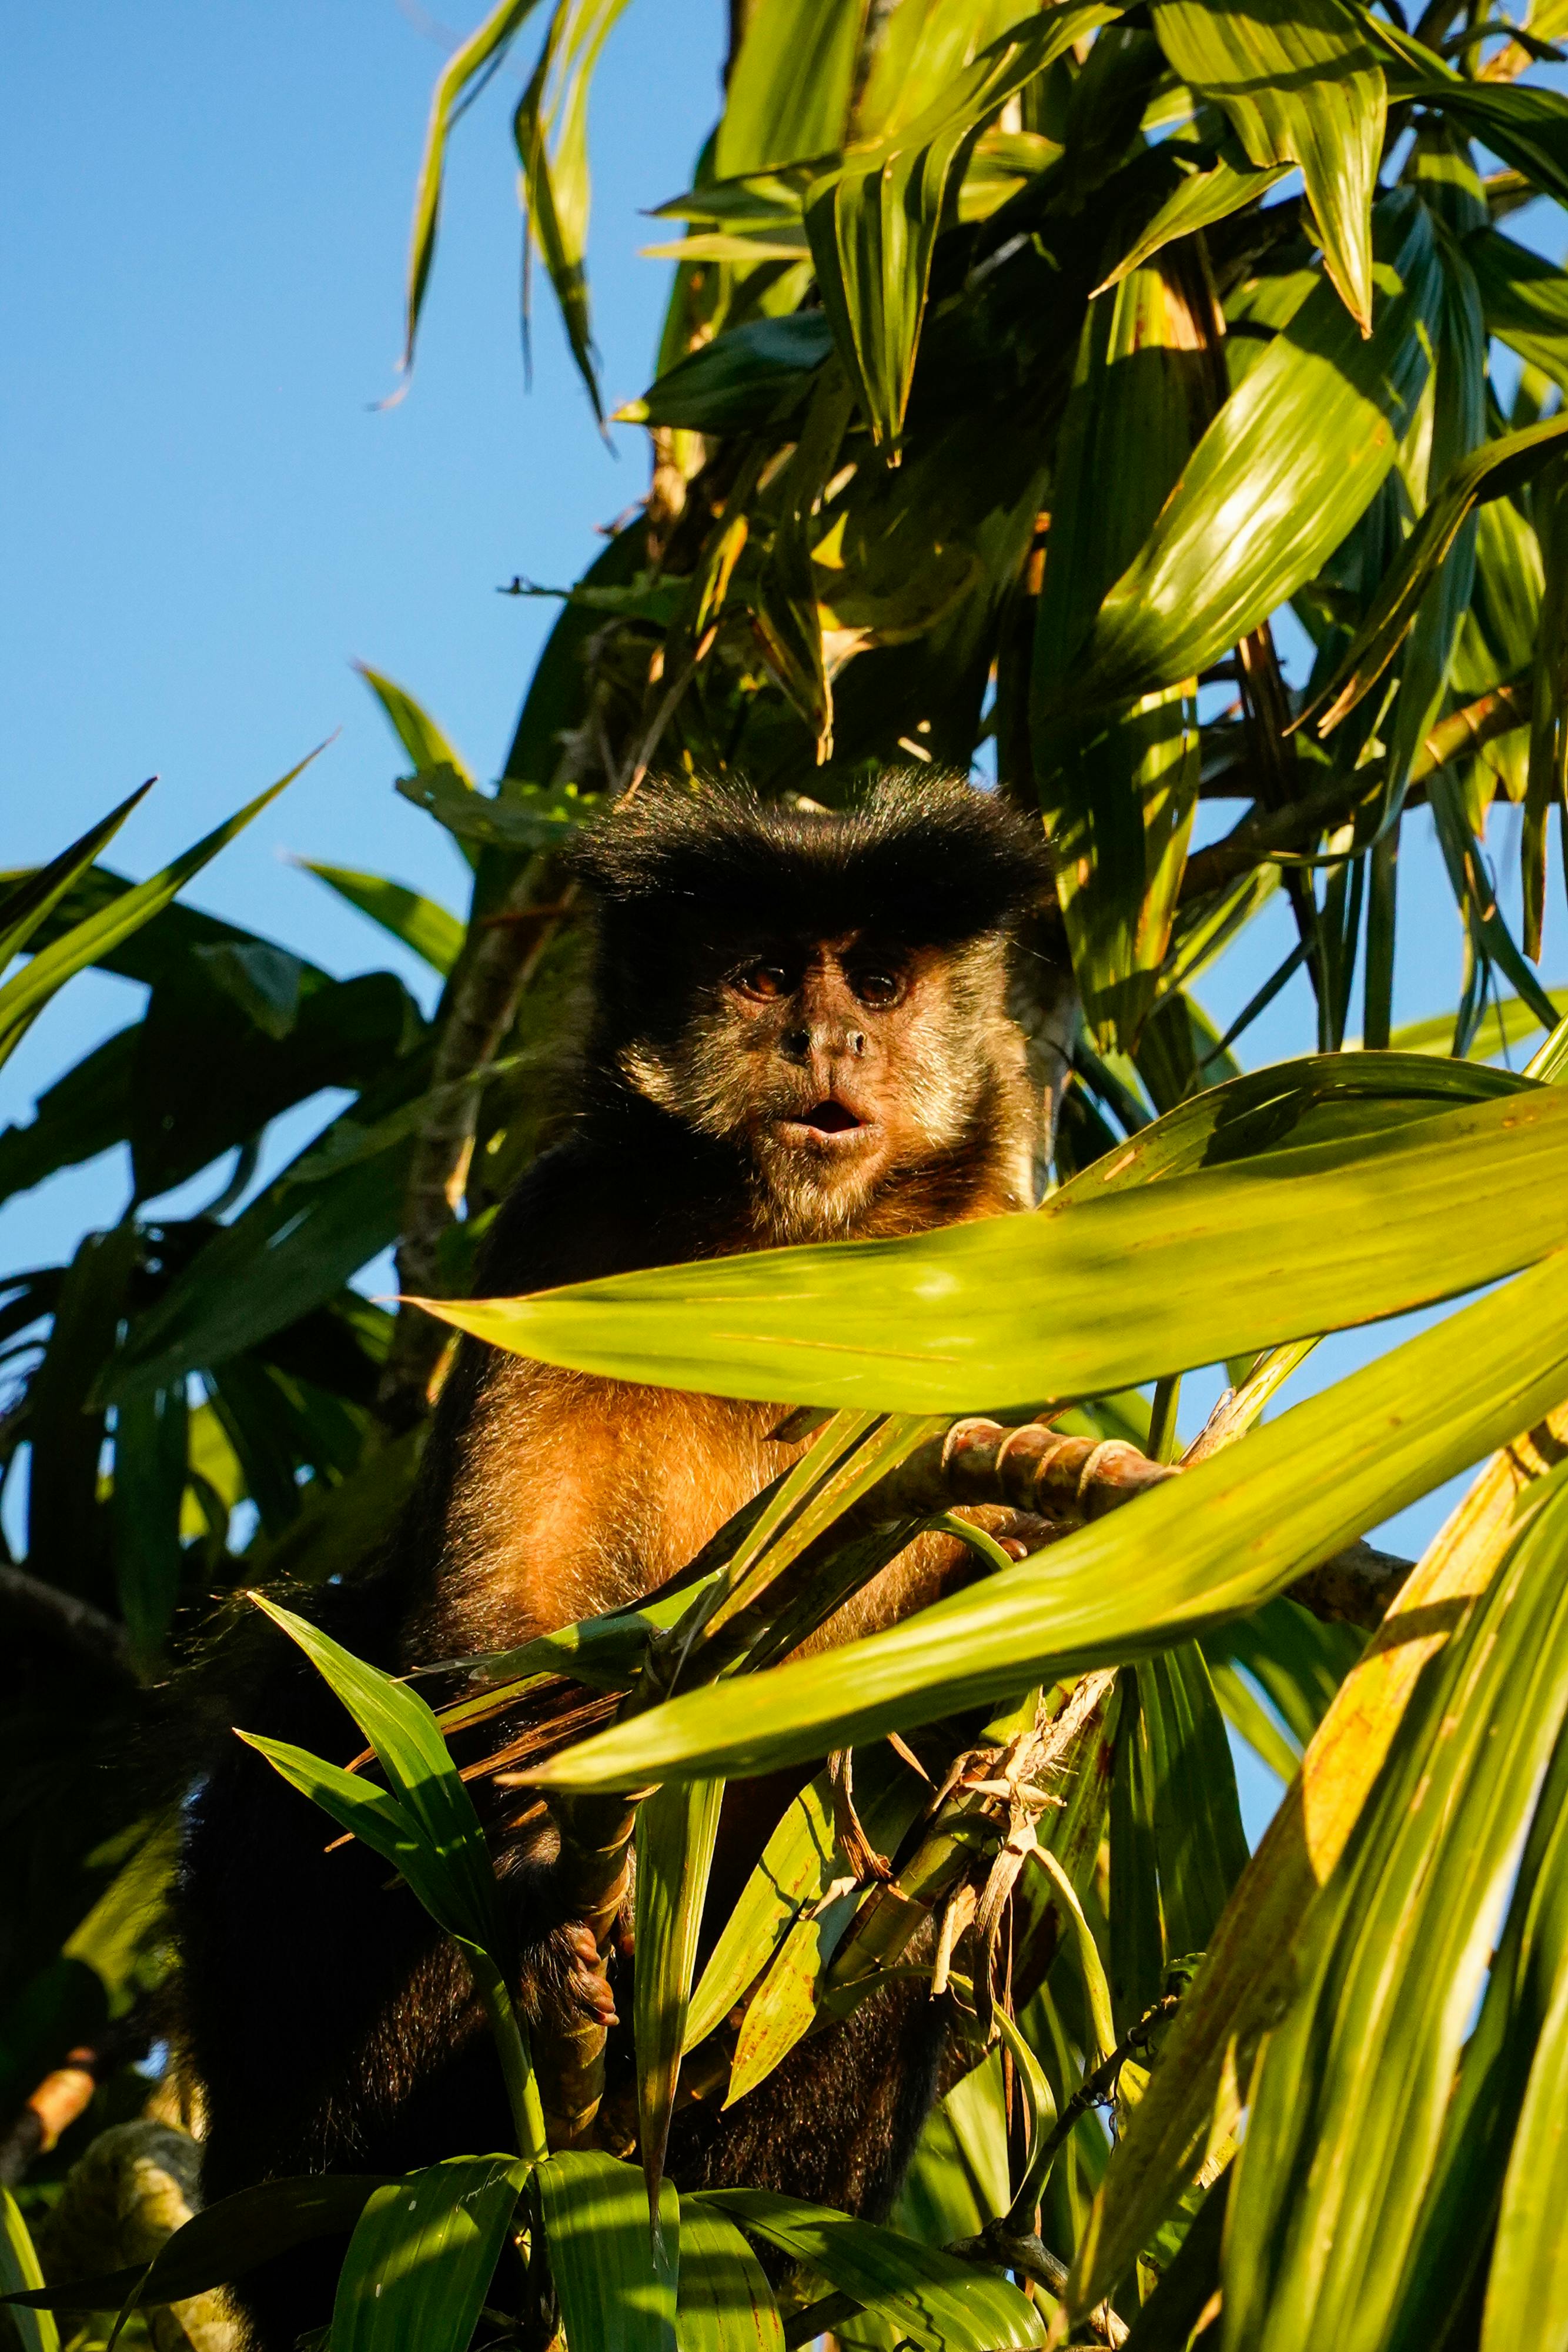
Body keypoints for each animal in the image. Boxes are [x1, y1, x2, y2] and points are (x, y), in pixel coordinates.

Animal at [176, 775, 1054, 2349]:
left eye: (879, 981)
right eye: (766, 975)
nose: (831, 1042)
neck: (773, 1245)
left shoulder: (991, 1254)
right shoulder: (560, 1236)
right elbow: (476, 1634)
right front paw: (543, 1896)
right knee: (308, 1702)